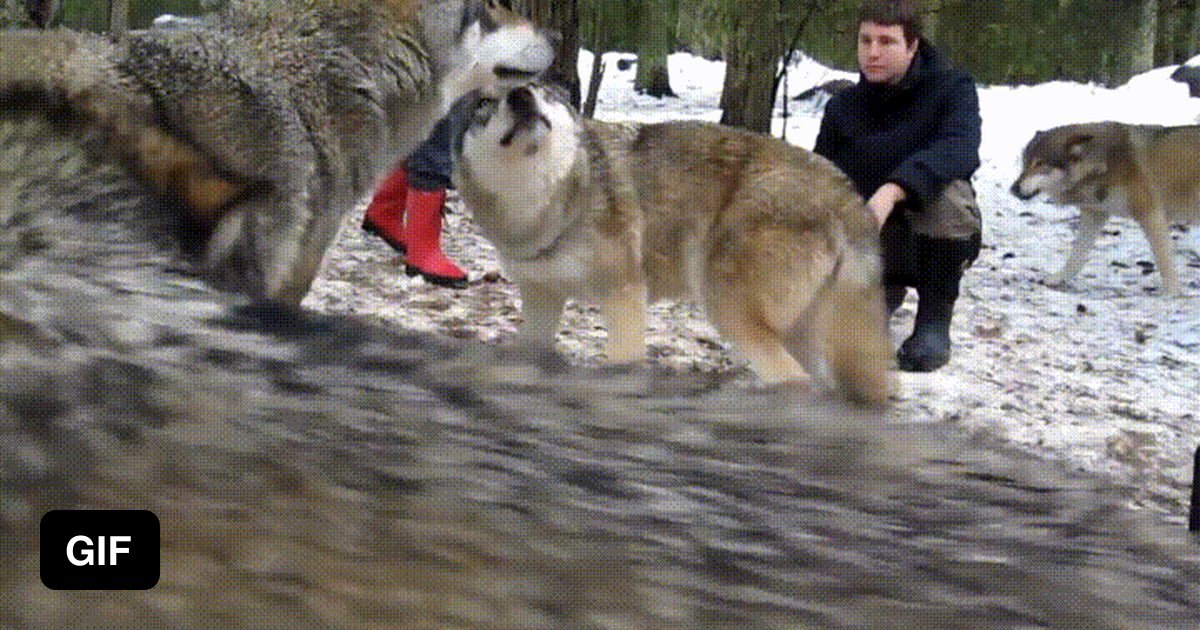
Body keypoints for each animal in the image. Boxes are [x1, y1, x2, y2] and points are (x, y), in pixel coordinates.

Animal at [453, 84, 894, 405]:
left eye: (540, 91)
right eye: (486, 103)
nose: (521, 95)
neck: (543, 203)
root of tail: (843, 190)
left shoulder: (624, 293)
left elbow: (622, 363)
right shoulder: (541, 299)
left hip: (727, 309)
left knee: (794, 380)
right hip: (798, 331)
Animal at [1011, 121, 1200, 296]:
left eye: (1040, 164)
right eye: (1025, 163)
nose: (1014, 189)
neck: (1104, 164)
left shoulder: (1151, 215)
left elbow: (1163, 258)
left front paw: (1171, 292)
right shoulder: (1094, 216)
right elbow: (1076, 254)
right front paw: (1059, 278)